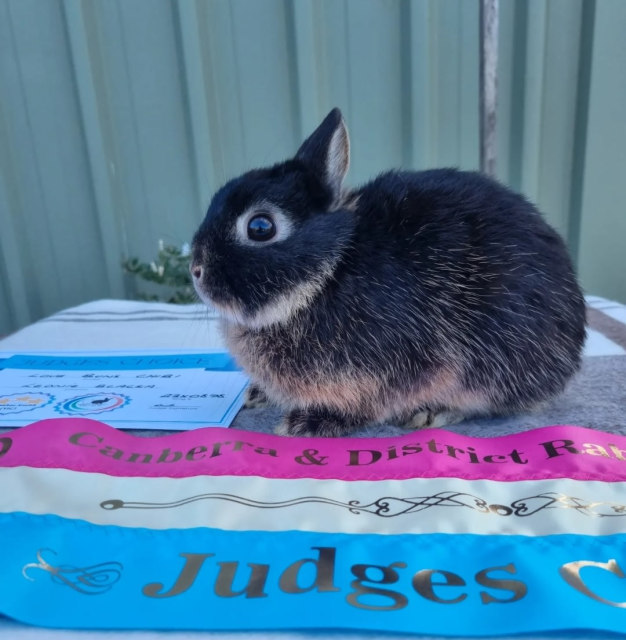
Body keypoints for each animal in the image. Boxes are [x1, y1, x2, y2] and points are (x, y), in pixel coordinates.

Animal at [190, 108, 586, 437]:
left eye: (260, 227)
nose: (196, 268)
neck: (327, 273)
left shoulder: (389, 373)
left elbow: (371, 405)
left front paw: (310, 423)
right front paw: (258, 395)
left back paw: (431, 412)